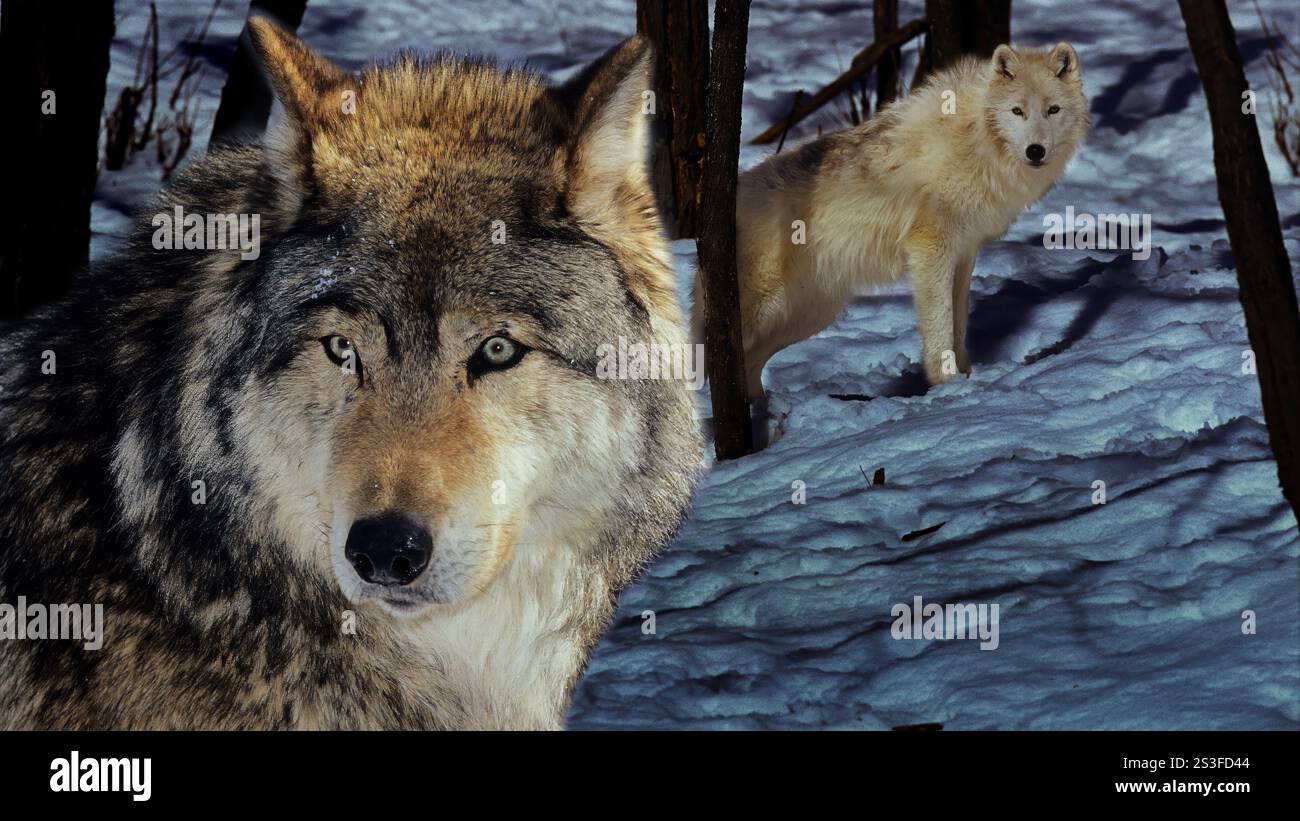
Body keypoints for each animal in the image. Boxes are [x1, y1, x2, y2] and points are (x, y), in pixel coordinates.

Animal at [703, 43, 1088, 397]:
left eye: (1052, 110)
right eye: (1017, 111)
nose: (1035, 151)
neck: (977, 141)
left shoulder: (964, 253)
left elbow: (959, 322)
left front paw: (967, 378)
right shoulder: (931, 249)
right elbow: (940, 325)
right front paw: (947, 385)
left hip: (810, 315)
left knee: (751, 364)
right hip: (767, 310)